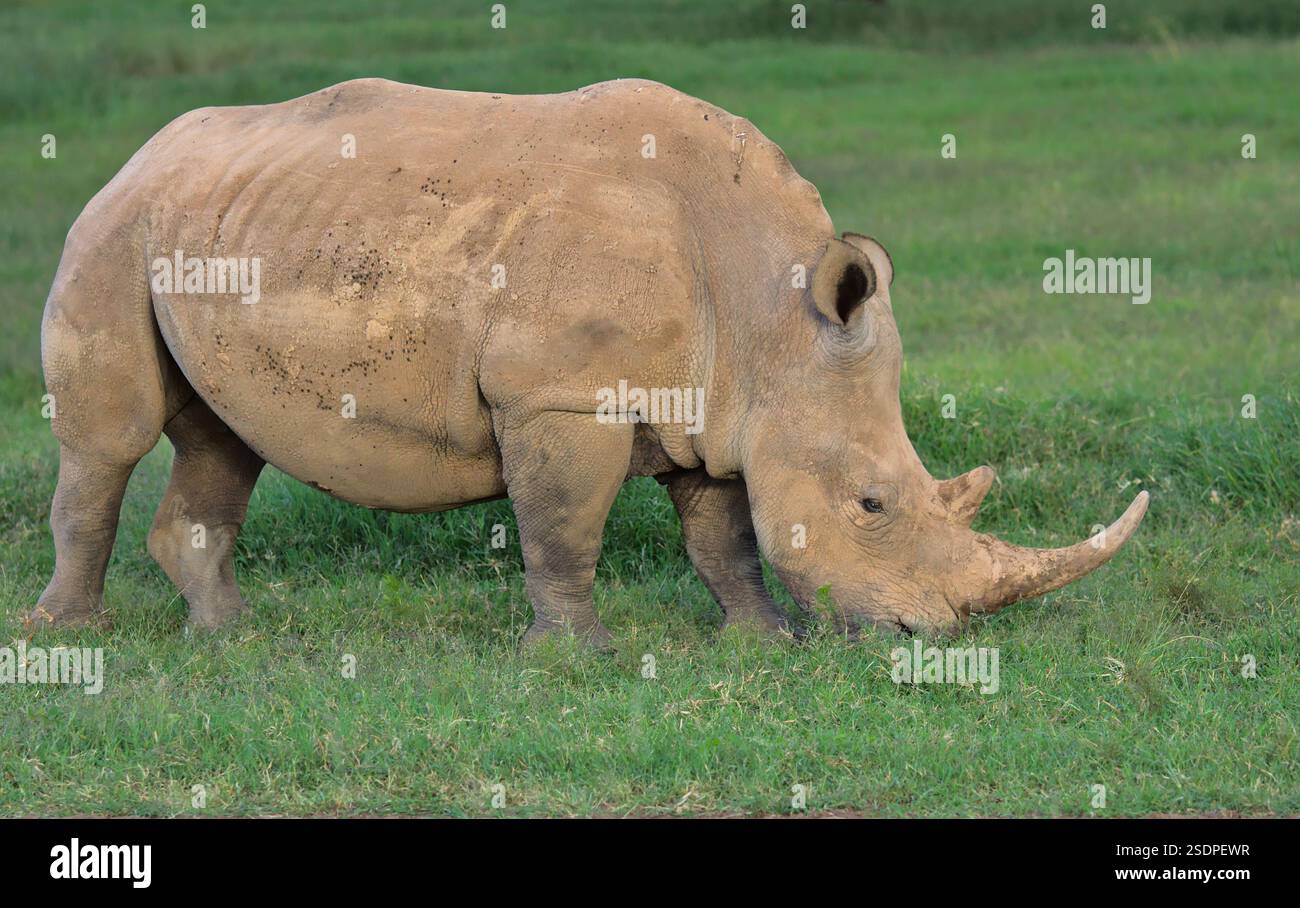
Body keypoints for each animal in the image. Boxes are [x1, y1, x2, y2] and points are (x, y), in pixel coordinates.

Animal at [31, 78, 1148, 644]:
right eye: (873, 504)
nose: (933, 636)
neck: (771, 312)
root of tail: (139, 153)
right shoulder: (559, 399)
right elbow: (564, 528)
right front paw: (573, 657)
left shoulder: (718, 405)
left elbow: (722, 534)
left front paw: (761, 643)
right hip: (113, 230)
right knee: (111, 439)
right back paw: (68, 637)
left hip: (204, 224)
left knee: (225, 438)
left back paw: (230, 635)